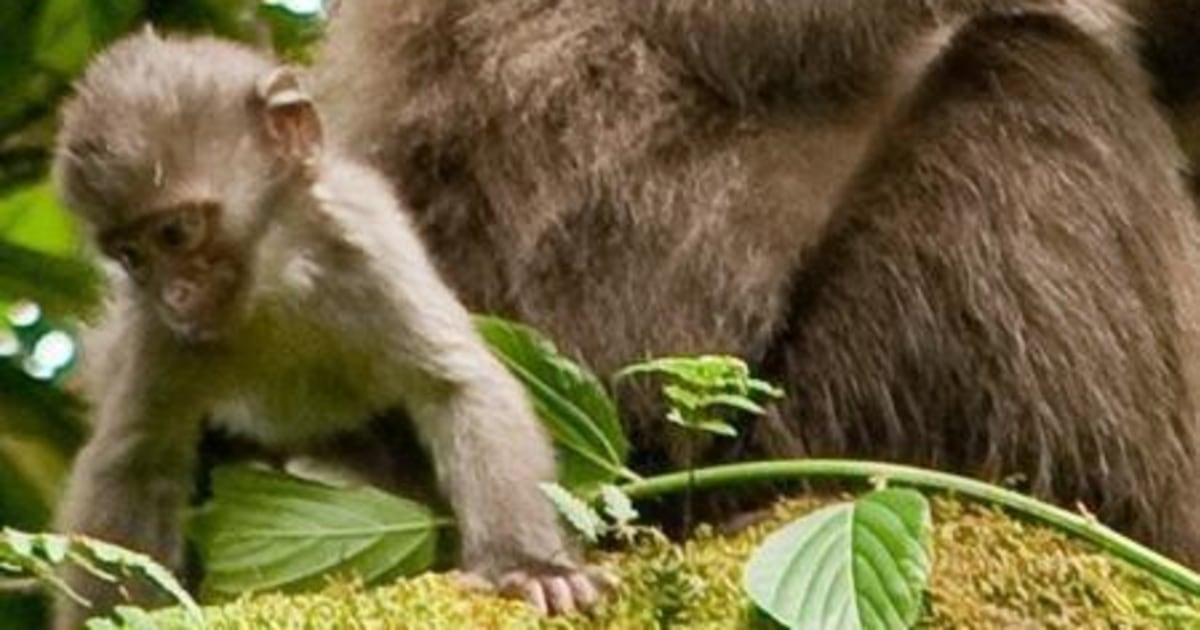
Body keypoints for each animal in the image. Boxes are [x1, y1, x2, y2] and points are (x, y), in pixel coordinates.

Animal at [51, 31, 607, 629]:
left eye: (175, 233)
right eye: (130, 257)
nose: (172, 296)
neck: (273, 284)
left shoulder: (365, 246)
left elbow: (458, 385)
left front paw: (526, 567)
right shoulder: (159, 335)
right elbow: (134, 461)